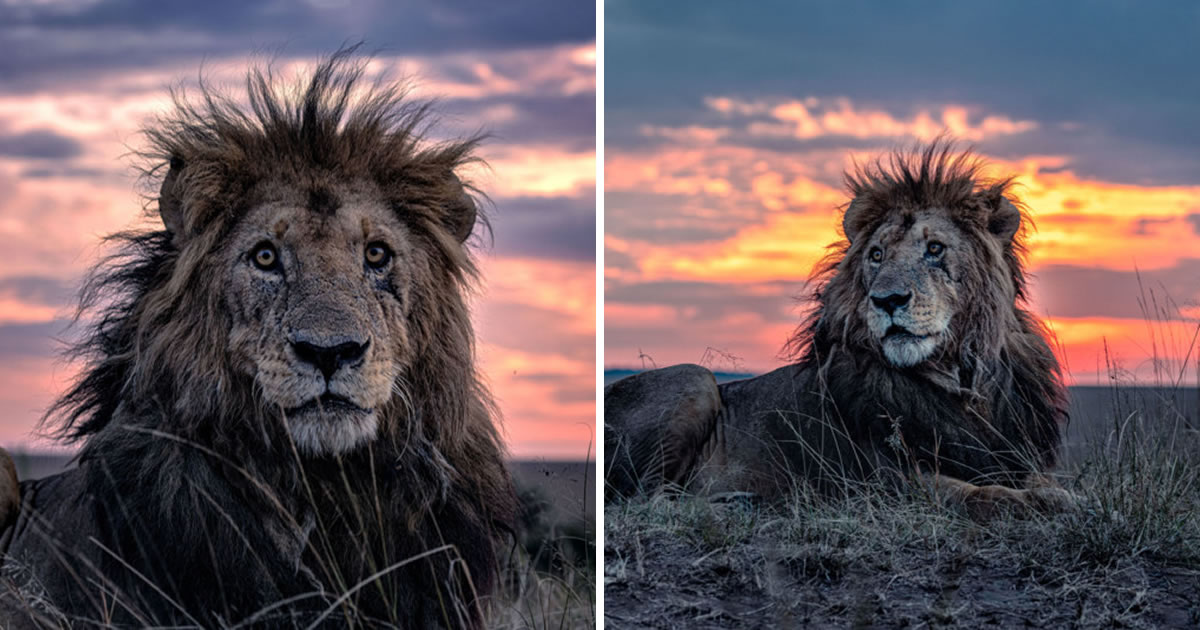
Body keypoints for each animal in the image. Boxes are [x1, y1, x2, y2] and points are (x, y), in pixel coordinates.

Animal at [605, 141, 1073, 518]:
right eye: (877, 255)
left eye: (935, 248)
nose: (887, 300)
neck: (961, 382)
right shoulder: (888, 484)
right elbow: (980, 495)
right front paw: (1042, 502)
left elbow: (1035, 481)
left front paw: (1060, 494)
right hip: (695, 378)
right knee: (644, 501)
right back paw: (729, 506)